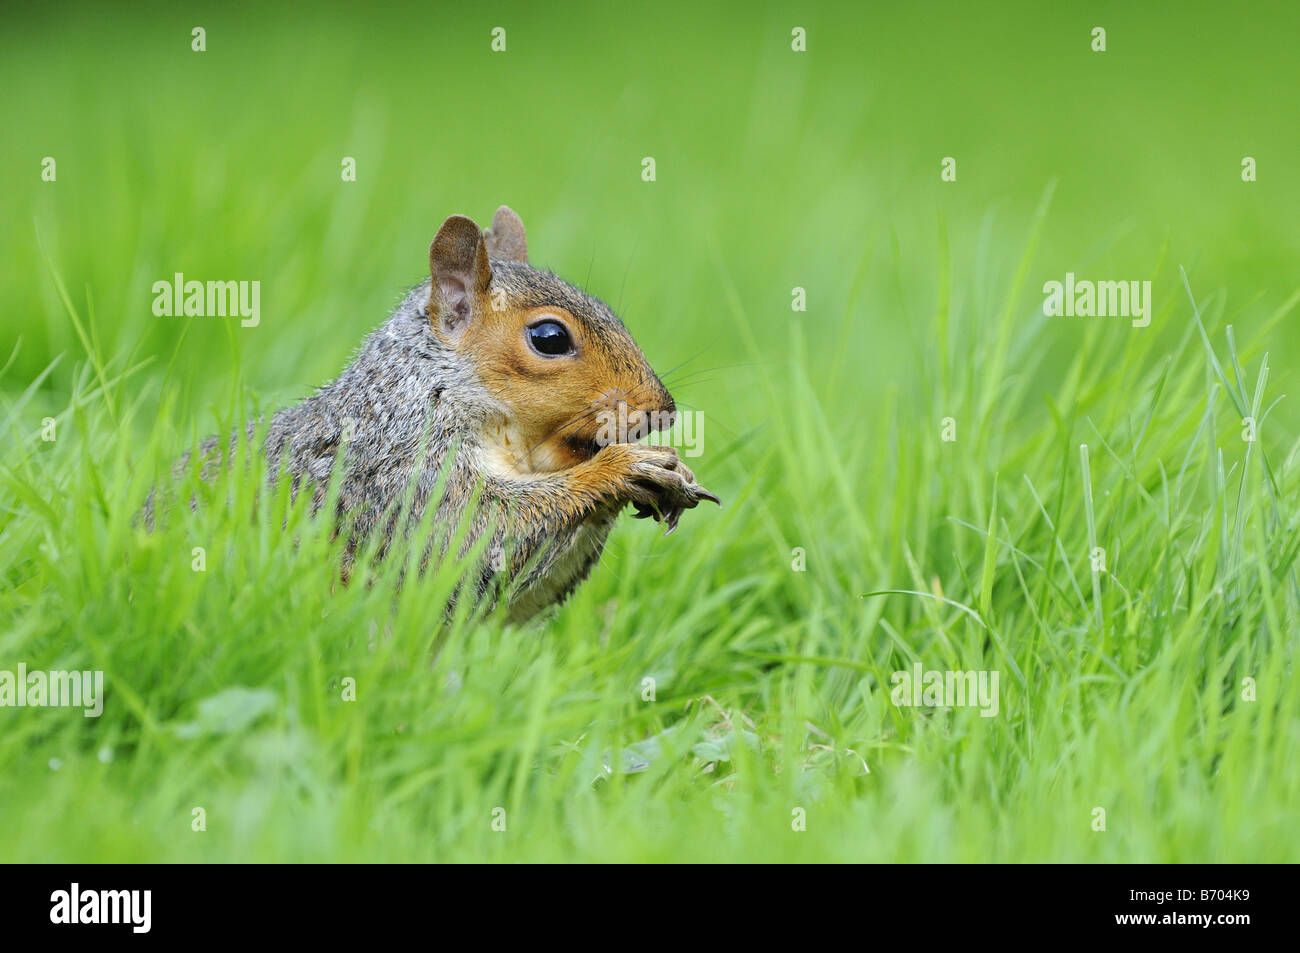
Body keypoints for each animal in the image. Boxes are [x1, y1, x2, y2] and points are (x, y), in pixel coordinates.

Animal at [161, 207, 719, 623]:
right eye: (549, 337)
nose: (662, 411)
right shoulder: (397, 474)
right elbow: (467, 536)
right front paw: (623, 468)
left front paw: (670, 471)